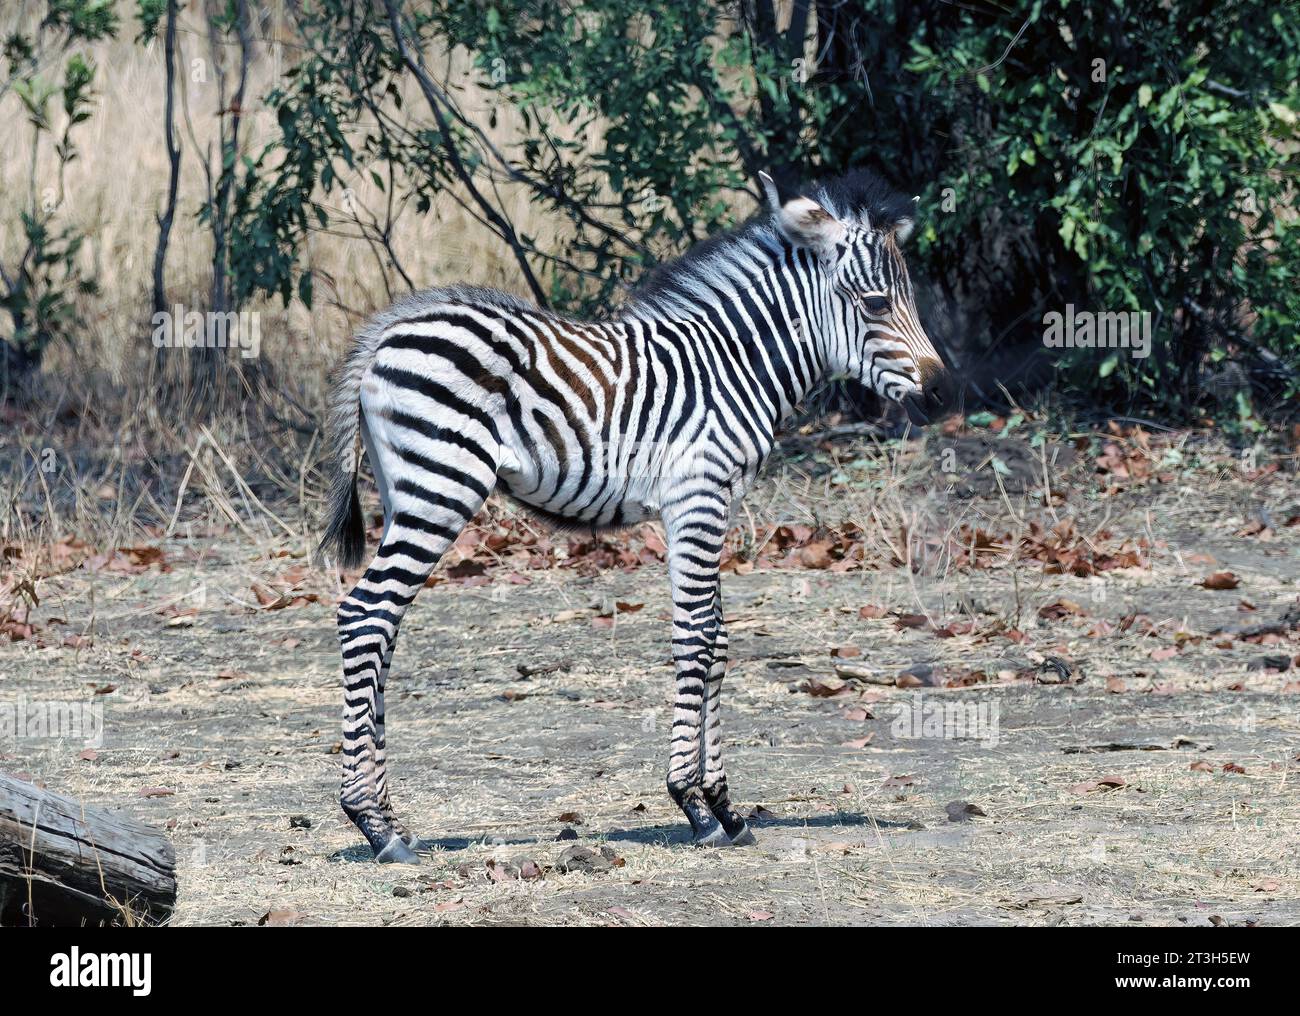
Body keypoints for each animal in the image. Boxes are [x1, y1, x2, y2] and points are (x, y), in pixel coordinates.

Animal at [320, 169, 948, 863]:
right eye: (874, 304)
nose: (941, 394)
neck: (734, 365)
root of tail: (386, 332)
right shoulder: (698, 496)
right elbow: (696, 637)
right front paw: (697, 804)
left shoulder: (709, 502)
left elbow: (717, 639)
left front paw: (722, 807)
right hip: (442, 484)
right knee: (365, 614)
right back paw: (373, 825)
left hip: (406, 490)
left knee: (385, 626)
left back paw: (388, 816)